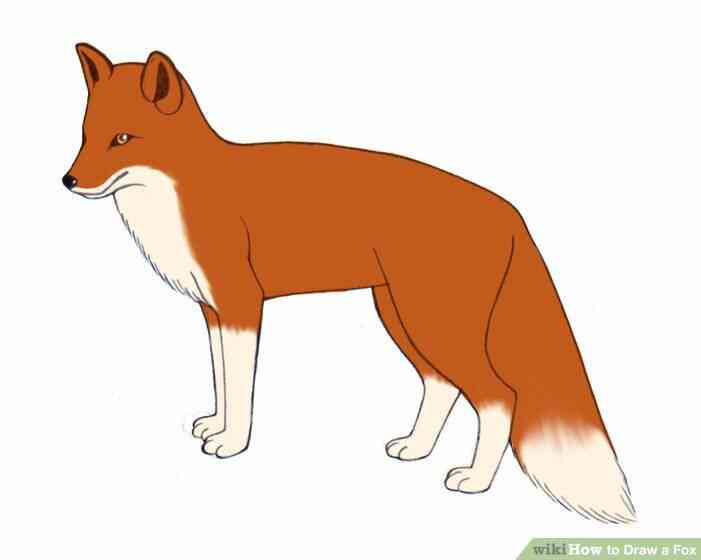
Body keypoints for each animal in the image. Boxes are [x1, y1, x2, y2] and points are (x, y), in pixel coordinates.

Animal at [64, 43, 635, 524]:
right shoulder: (214, 312)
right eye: (87, 135)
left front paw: (233, 443)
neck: (183, 193)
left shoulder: (243, 305)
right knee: (442, 385)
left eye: (123, 139)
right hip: (401, 316)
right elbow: (223, 381)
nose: (68, 181)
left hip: (433, 322)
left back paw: (474, 480)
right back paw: (415, 448)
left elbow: (242, 389)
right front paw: (216, 425)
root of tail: (507, 207)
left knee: (500, 396)